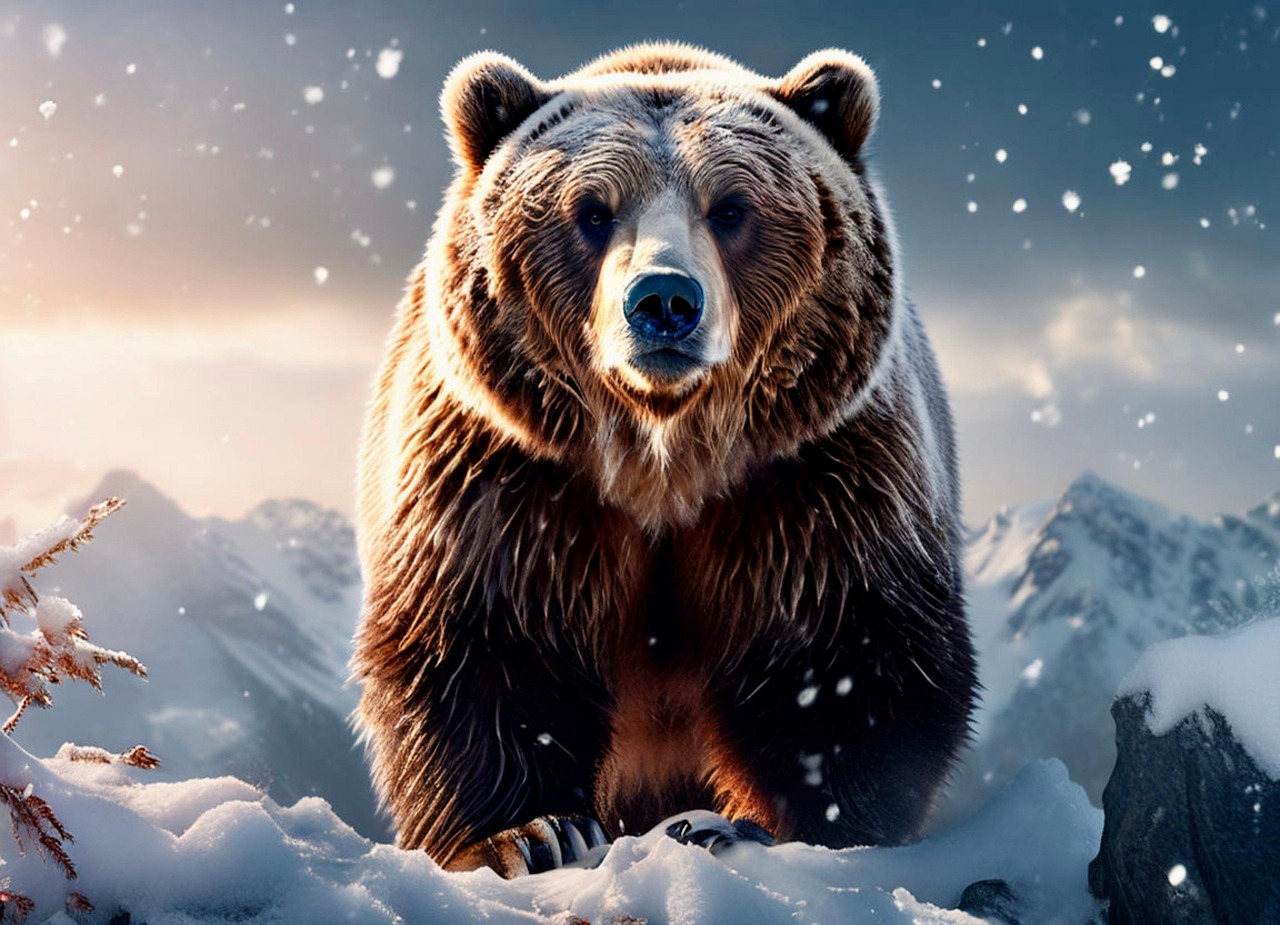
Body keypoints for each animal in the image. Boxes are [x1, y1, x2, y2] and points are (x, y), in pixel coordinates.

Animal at [351, 42, 978, 877]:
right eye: (591, 211)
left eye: (732, 208)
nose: (664, 302)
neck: (663, 458)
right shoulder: (510, 474)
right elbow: (478, 644)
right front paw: (529, 832)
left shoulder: (815, 477)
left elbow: (844, 650)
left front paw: (758, 824)